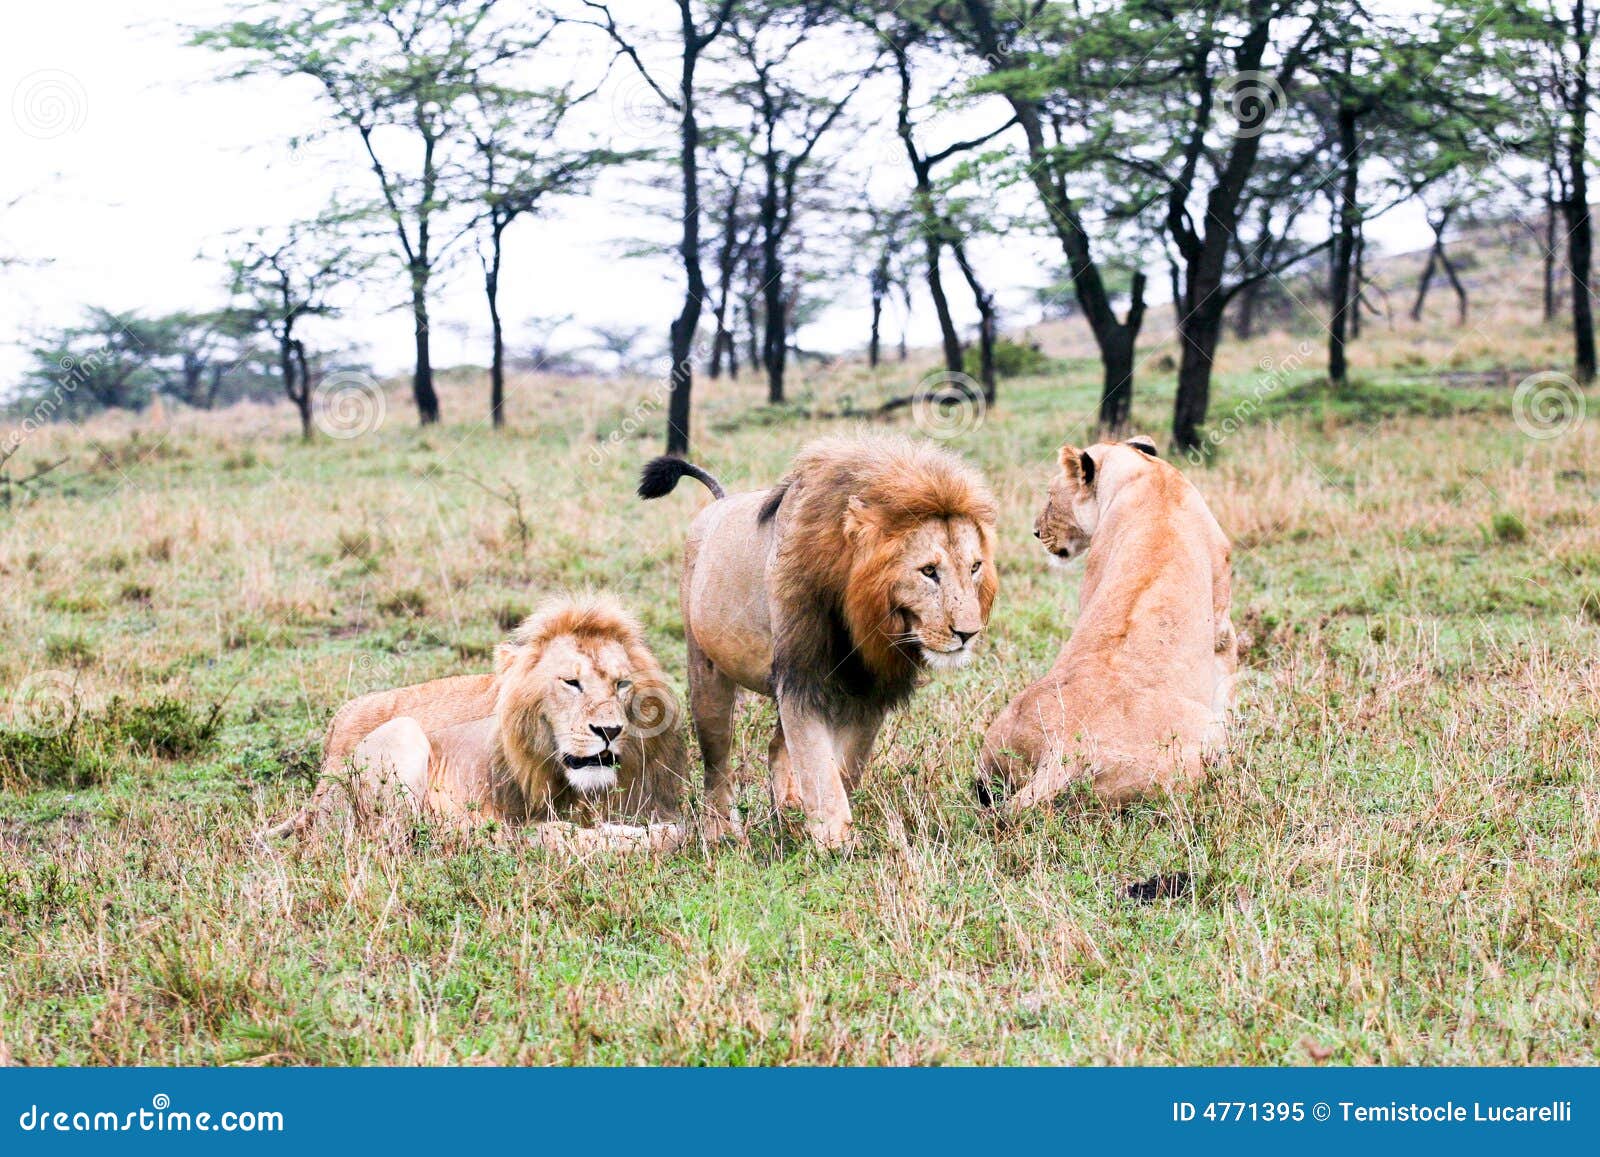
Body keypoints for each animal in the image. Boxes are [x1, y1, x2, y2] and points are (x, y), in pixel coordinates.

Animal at [261, 595, 691, 854]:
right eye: (571, 682)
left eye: (621, 684)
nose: (609, 732)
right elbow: (557, 837)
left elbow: (655, 831)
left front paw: (656, 833)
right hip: (404, 732)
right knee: (397, 839)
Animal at [639, 434, 998, 850]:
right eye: (928, 571)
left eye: (975, 567)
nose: (968, 633)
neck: (861, 617)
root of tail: (718, 503)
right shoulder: (802, 678)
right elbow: (818, 766)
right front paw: (835, 841)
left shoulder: (870, 691)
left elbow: (844, 767)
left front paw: (820, 827)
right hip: (707, 672)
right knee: (717, 762)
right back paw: (721, 832)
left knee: (776, 748)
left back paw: (789, 814)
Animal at [979, 435, 1237, 813]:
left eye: (1050, 496)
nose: (1036, 532)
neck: (1146, 473)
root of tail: (1068, 748)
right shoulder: (1222, 626)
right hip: (1205, 733)